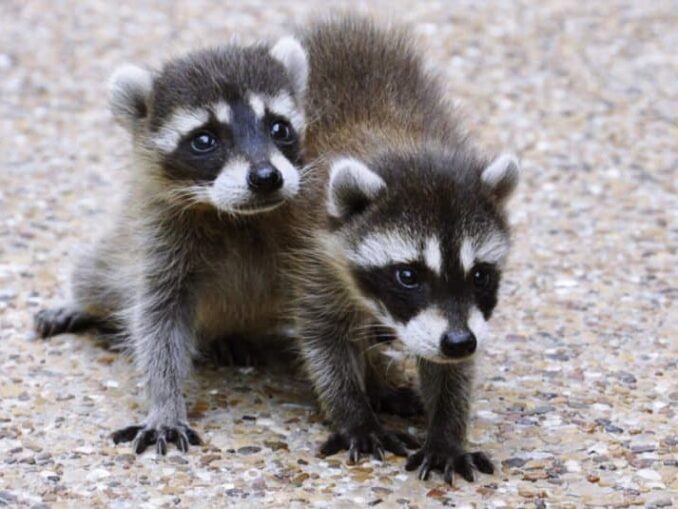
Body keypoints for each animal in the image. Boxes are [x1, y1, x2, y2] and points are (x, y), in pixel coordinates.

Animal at [34, 37, 309, 454]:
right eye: (204, 140)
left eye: (279, 127)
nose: (266, 177)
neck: (235, 215)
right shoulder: (159, 235)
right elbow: (158, 320)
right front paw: (164, 403)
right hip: (119, 248)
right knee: (93, 276)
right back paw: (79, 301)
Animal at [295, 18, 520, 484]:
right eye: (409, 275)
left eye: (480, 275)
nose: (459, 342)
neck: (405, 147)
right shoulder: (317, 254)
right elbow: (323, 337)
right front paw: (353, 412)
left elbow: (449, 368)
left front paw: (447, 431)